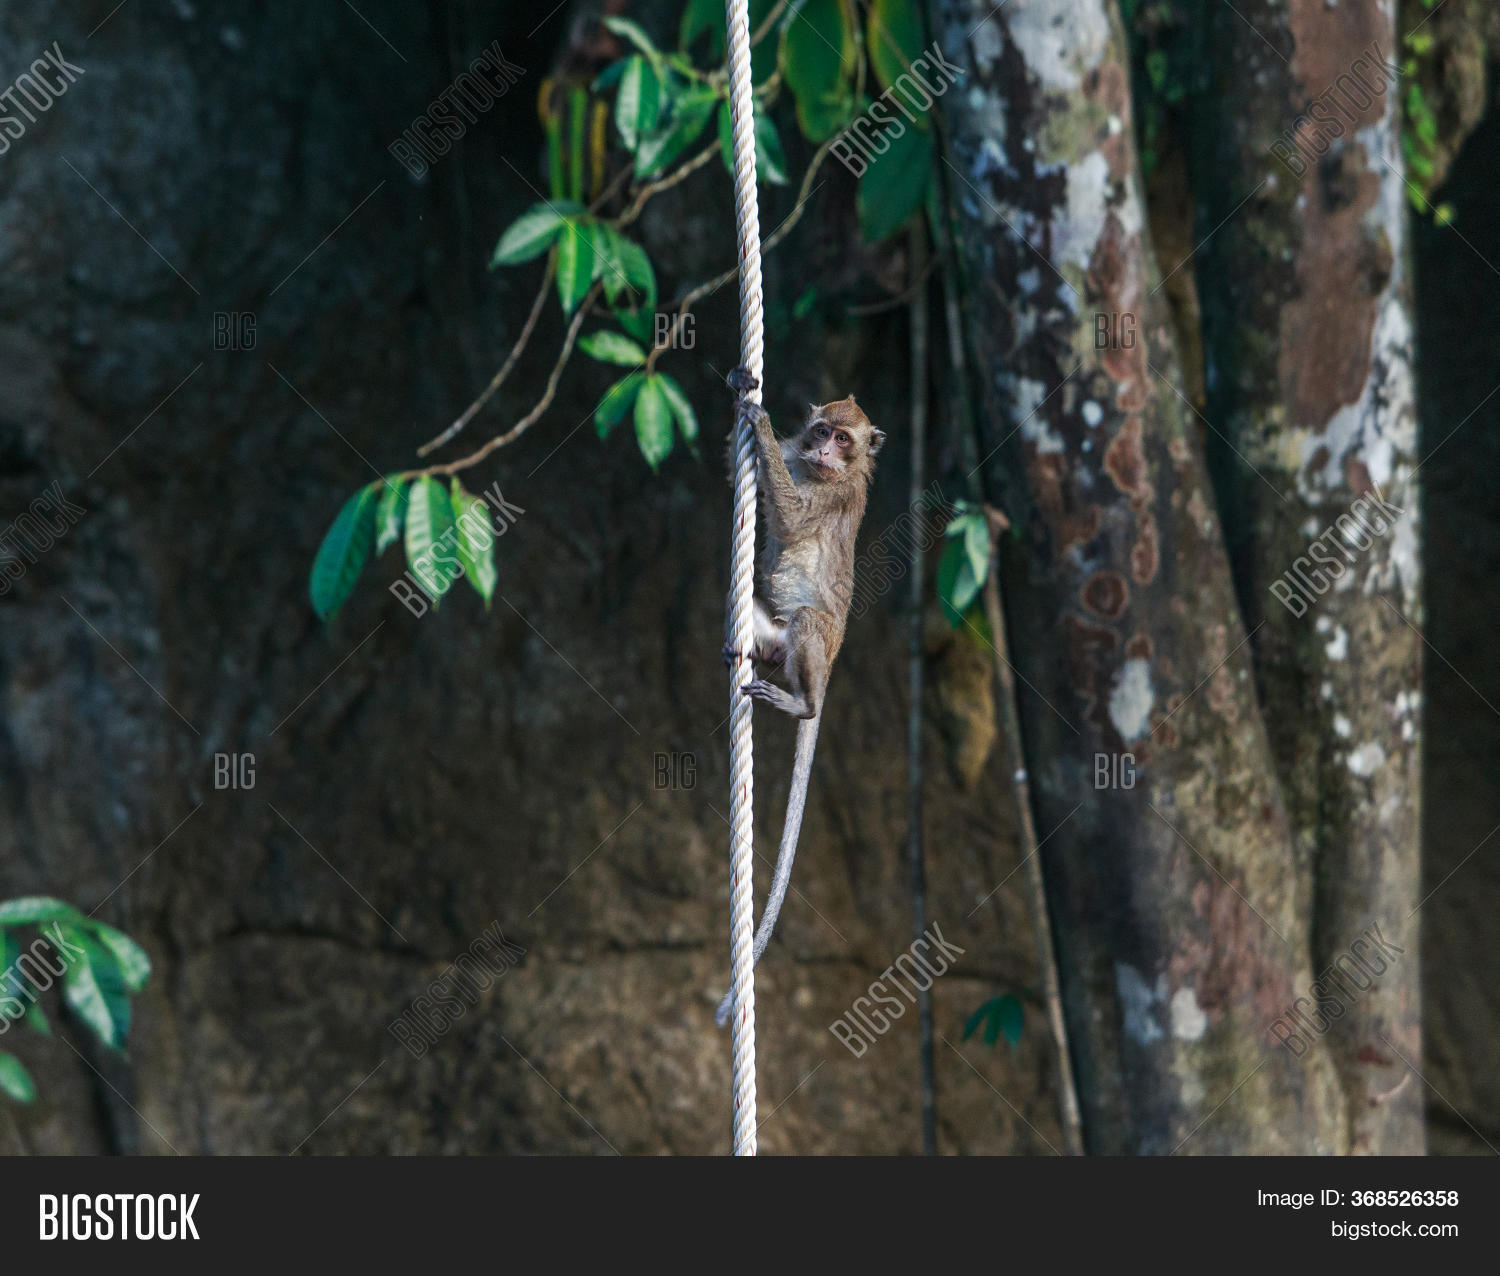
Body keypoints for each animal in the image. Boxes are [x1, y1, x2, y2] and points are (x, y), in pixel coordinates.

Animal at [716, 366, 884, 1026]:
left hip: (819, 640)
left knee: (809, 621)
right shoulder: (795, 457)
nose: (823, 450)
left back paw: (803, 705)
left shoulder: (834, 496)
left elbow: (791, 515)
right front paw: (743, 390)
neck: (821, 473)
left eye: (844, 439)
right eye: (821, 431)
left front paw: (756, 418)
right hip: (771, 633)